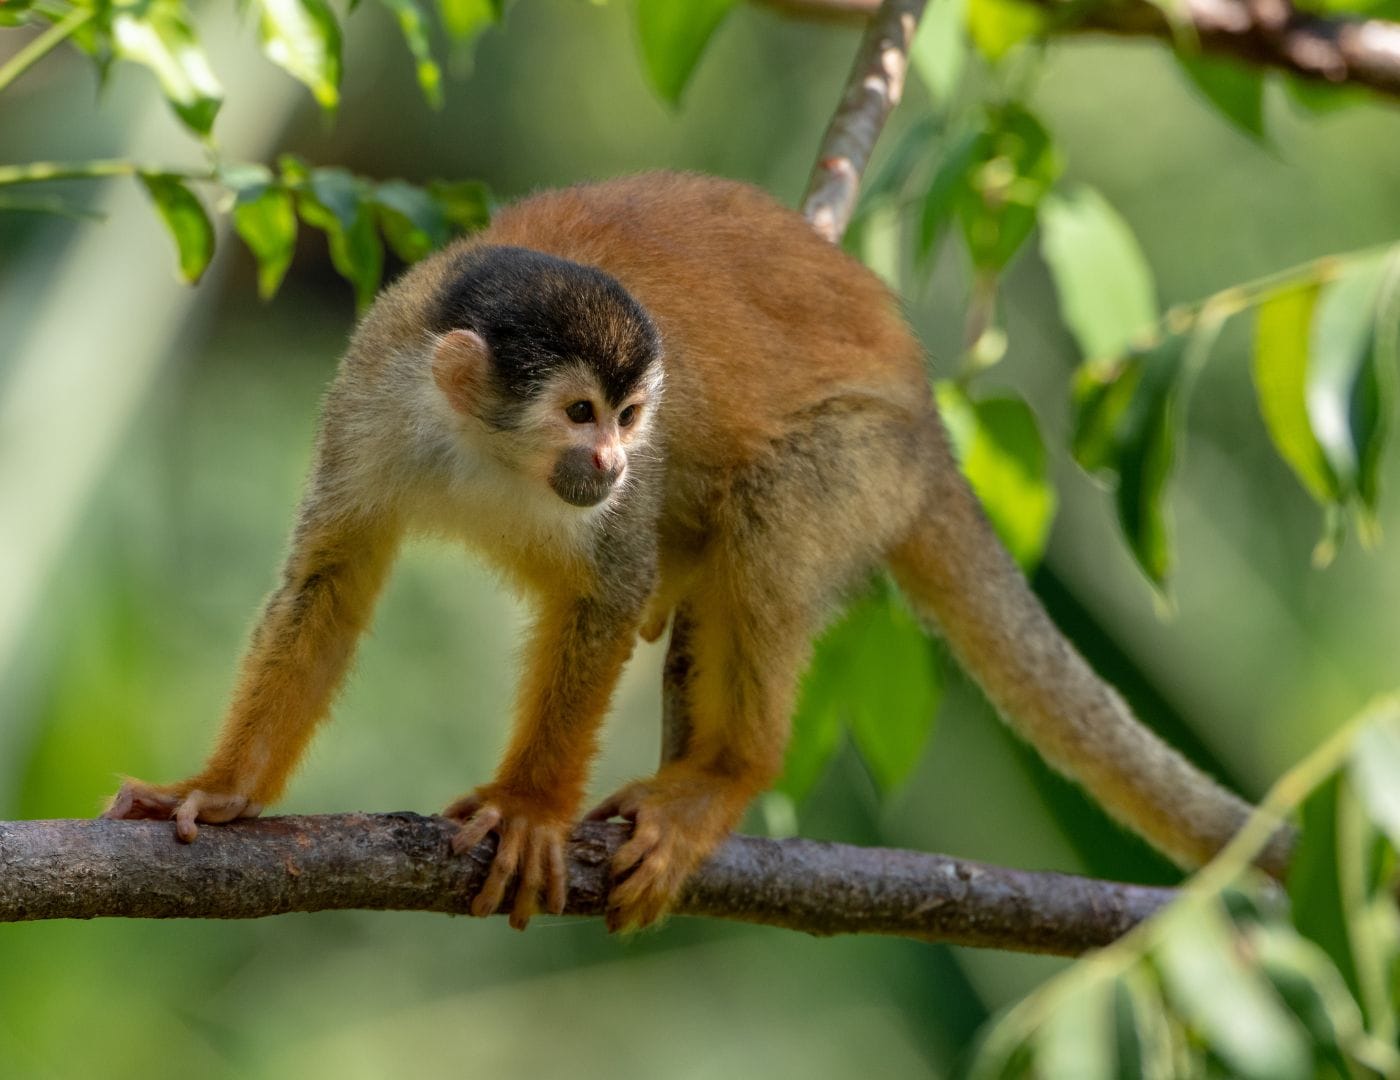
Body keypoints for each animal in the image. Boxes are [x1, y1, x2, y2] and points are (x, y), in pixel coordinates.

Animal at [103, 171, 1292, 931]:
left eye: (630, 416)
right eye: (580, 412)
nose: (615, 461)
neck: (476, 446)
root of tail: (930, 424)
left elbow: (604, 586)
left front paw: (529, 807)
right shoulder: (366, 403)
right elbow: (329, 582)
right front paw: (217, 791)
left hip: (868, 457)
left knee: (771, 519)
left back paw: (726, 773)